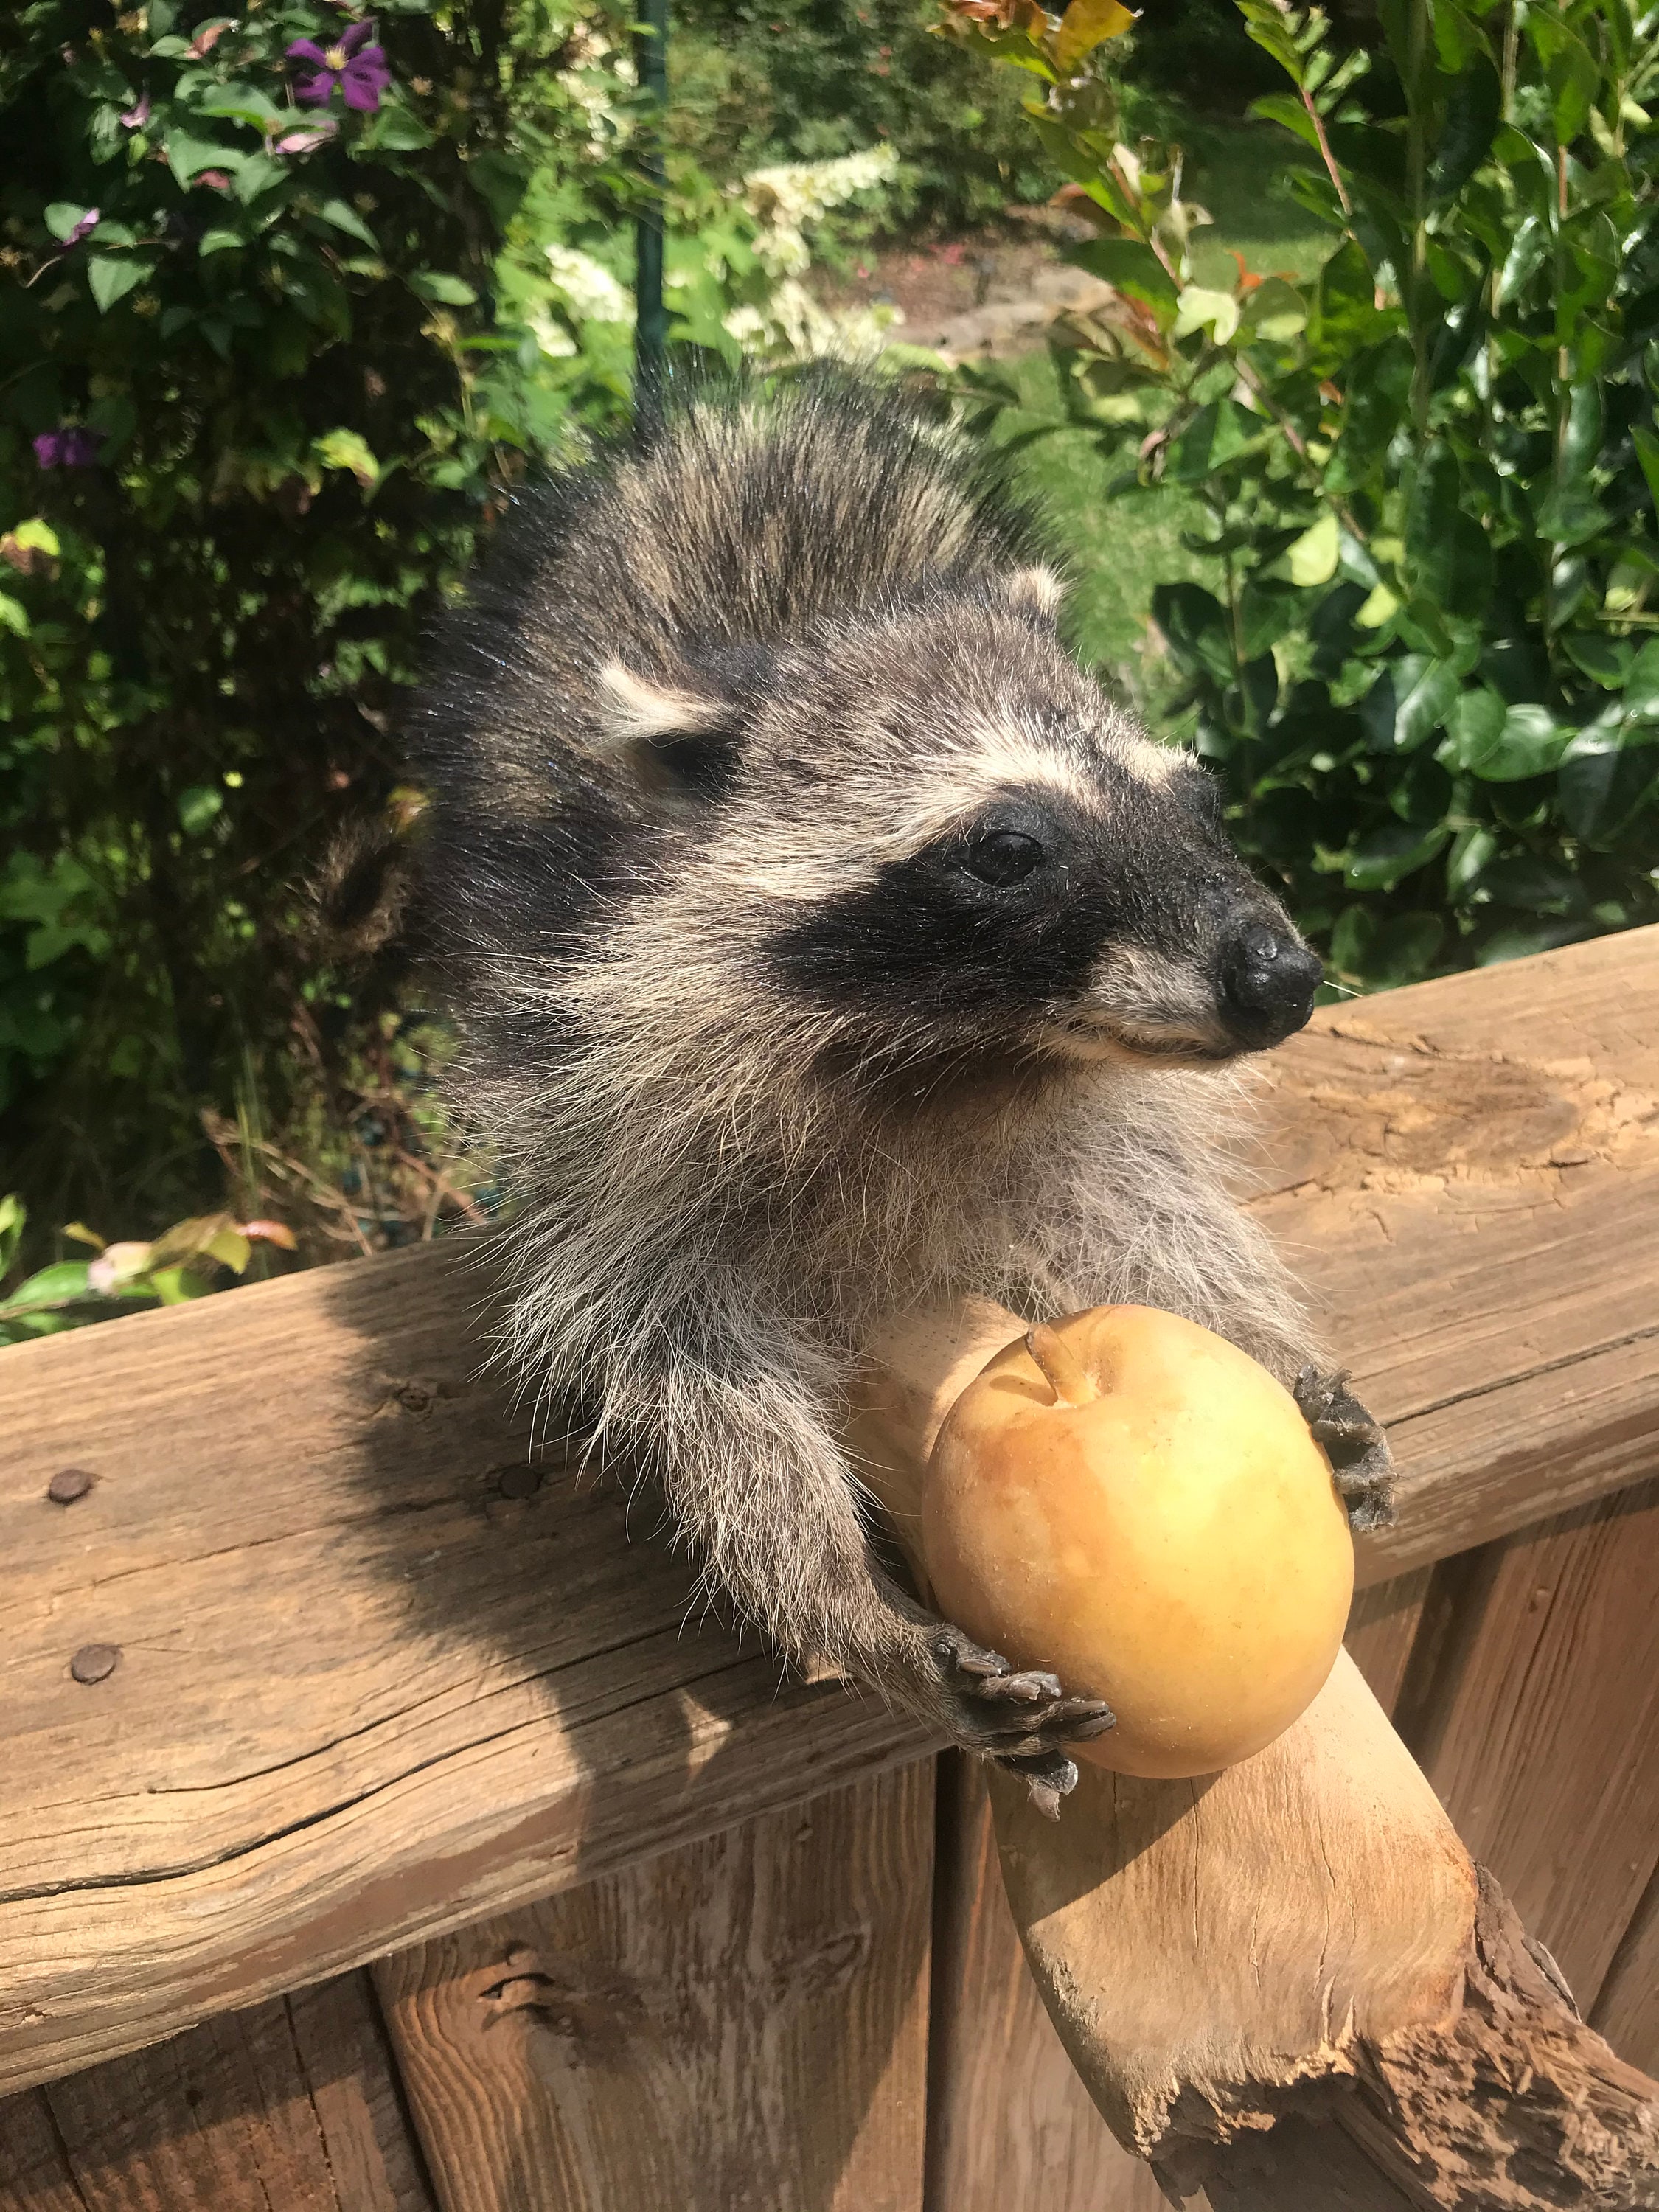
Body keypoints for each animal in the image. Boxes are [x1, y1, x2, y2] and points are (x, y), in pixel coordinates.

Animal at [409, 376, 1393, 1811]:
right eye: (1010, 848)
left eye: (1199, 797)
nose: (1282, 977)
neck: (959, 1047)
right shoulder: (600, 1094)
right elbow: (684, 1367)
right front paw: (839, 1597)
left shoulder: (1084, 1105)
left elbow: (1143, 1212)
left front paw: (1269, 1348)